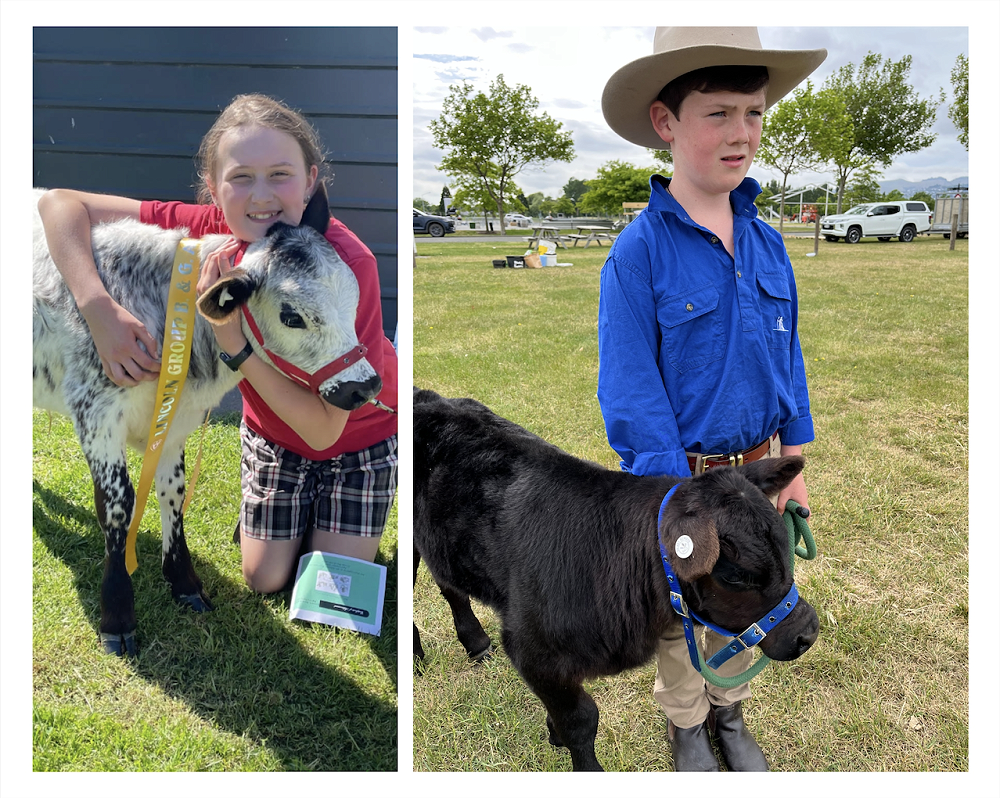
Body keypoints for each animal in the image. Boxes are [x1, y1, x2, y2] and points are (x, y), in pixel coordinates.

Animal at [413, 388, 819, 772]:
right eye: (737, 576)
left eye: (785, 544)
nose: (808, 632)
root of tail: (428, 398)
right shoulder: (532, 650)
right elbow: (582, 719)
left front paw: (552, 730)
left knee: (448, 584)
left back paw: (474, 642)